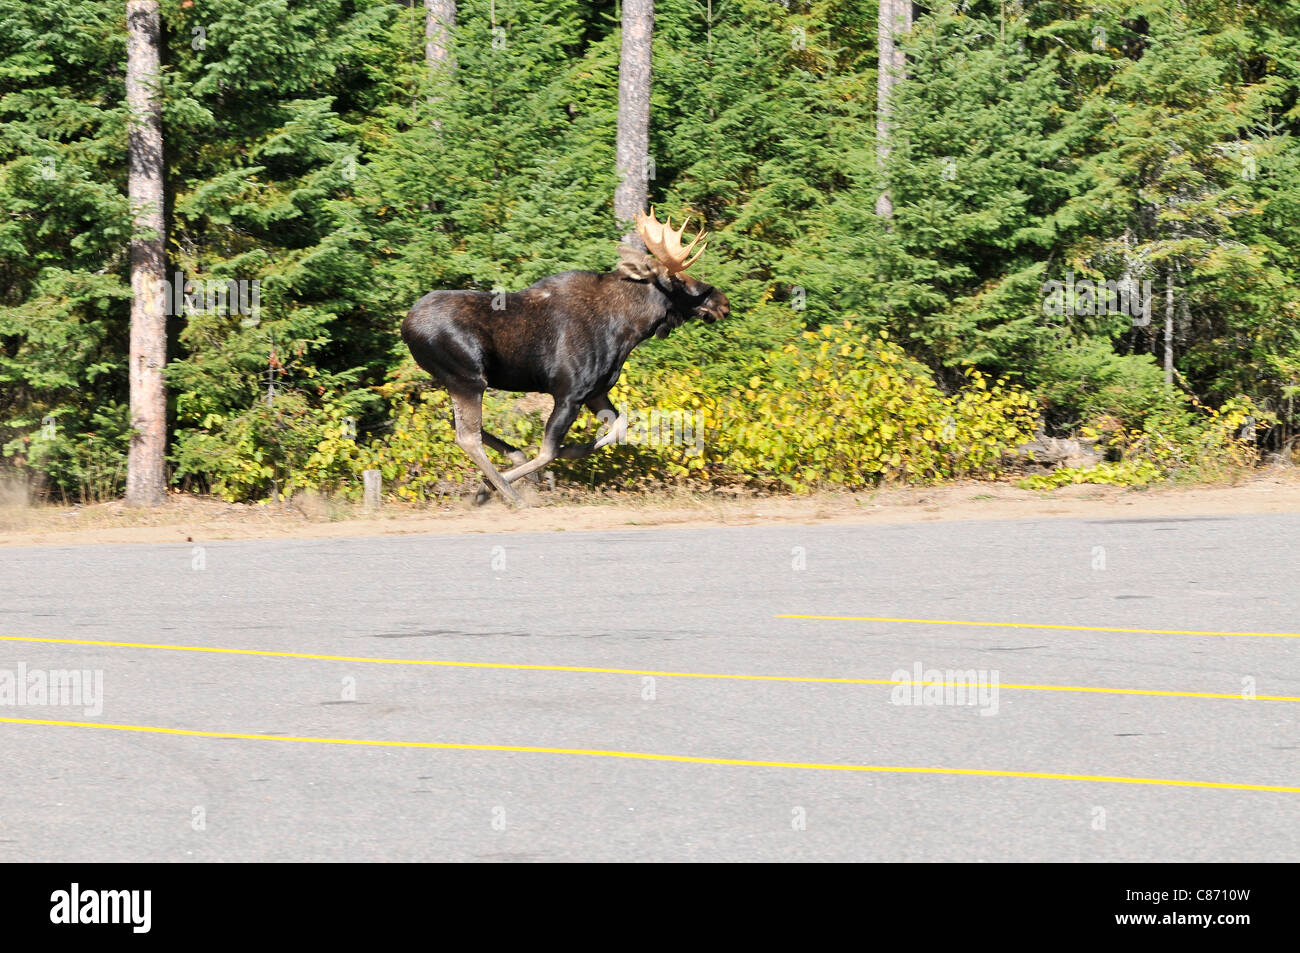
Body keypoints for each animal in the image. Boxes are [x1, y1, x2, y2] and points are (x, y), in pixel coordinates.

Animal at [401, 210, 730, 506]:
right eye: (680, 281)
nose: (723, 302)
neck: (628, 331)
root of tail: (406, 327)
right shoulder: (569, 393)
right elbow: (549, 451)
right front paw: (492, 486)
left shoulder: (596, 391)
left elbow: (618, 428)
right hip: (468, 378)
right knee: (467, 437)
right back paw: (509, 494)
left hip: (453, 381)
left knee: (455, 424)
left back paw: (508, 465)